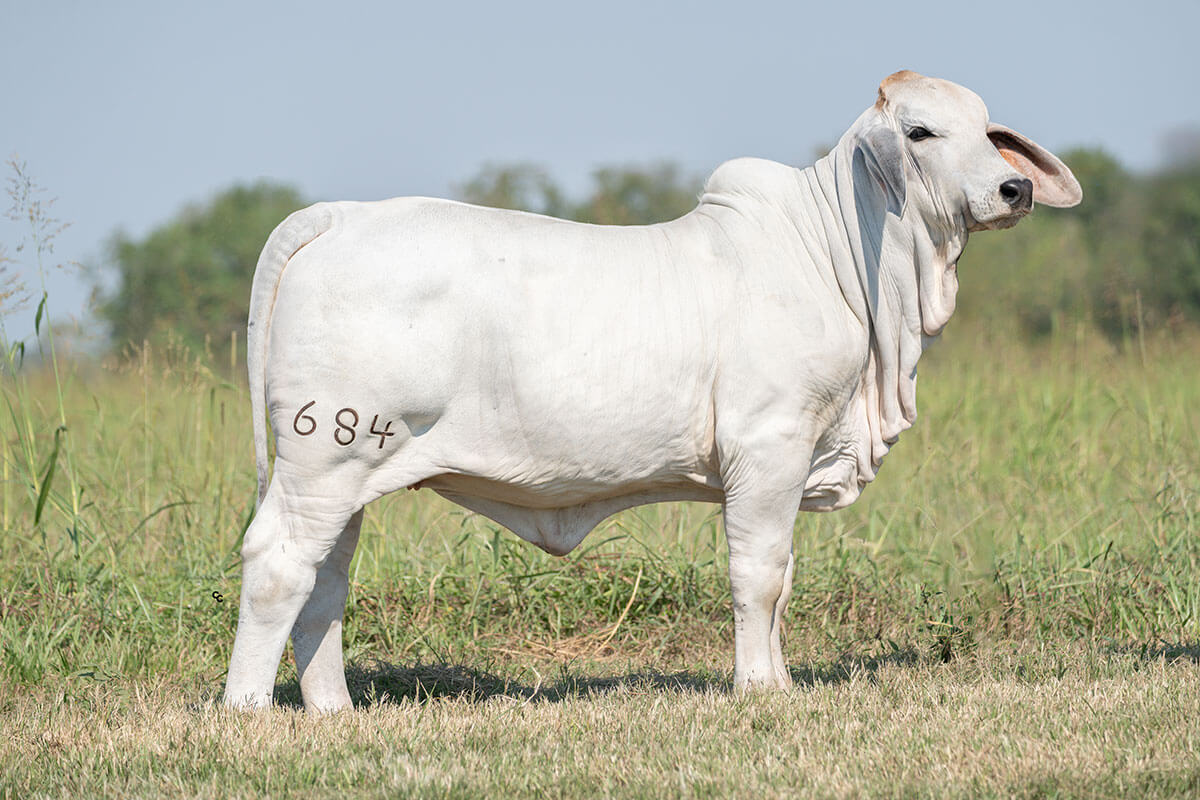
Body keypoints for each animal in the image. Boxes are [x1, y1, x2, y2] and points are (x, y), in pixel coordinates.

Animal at [223, 70, 1081, 711]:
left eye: (988, 129)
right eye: (920, 132)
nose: (1013, 189)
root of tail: (338, 217)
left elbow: (783, 579)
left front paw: (780, 680)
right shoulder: (769, 445)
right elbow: (758, 574)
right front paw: (758, 689)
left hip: (348, 475)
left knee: (326, 581)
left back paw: (334, 710)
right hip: (327, 454)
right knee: (277, 565)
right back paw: (248, 709)